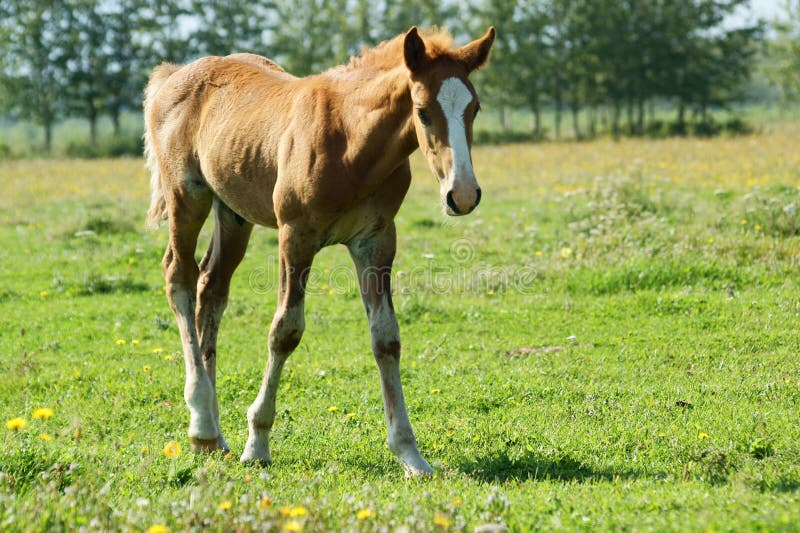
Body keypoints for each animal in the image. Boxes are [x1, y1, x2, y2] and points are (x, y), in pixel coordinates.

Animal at [143, 26, 494, 476]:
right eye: (422, 110)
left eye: (475, 108)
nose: (462, 195)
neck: (351, 144)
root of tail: (174, 74)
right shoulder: (296, 237)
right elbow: (285, 331)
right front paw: (257, 443)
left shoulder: (376, 240)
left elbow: (386, 338)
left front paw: (410, 454)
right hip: (187, 196)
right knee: (179, 279)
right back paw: (203, 425)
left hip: (233, 213)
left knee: (211, 288)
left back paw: (214, 435)